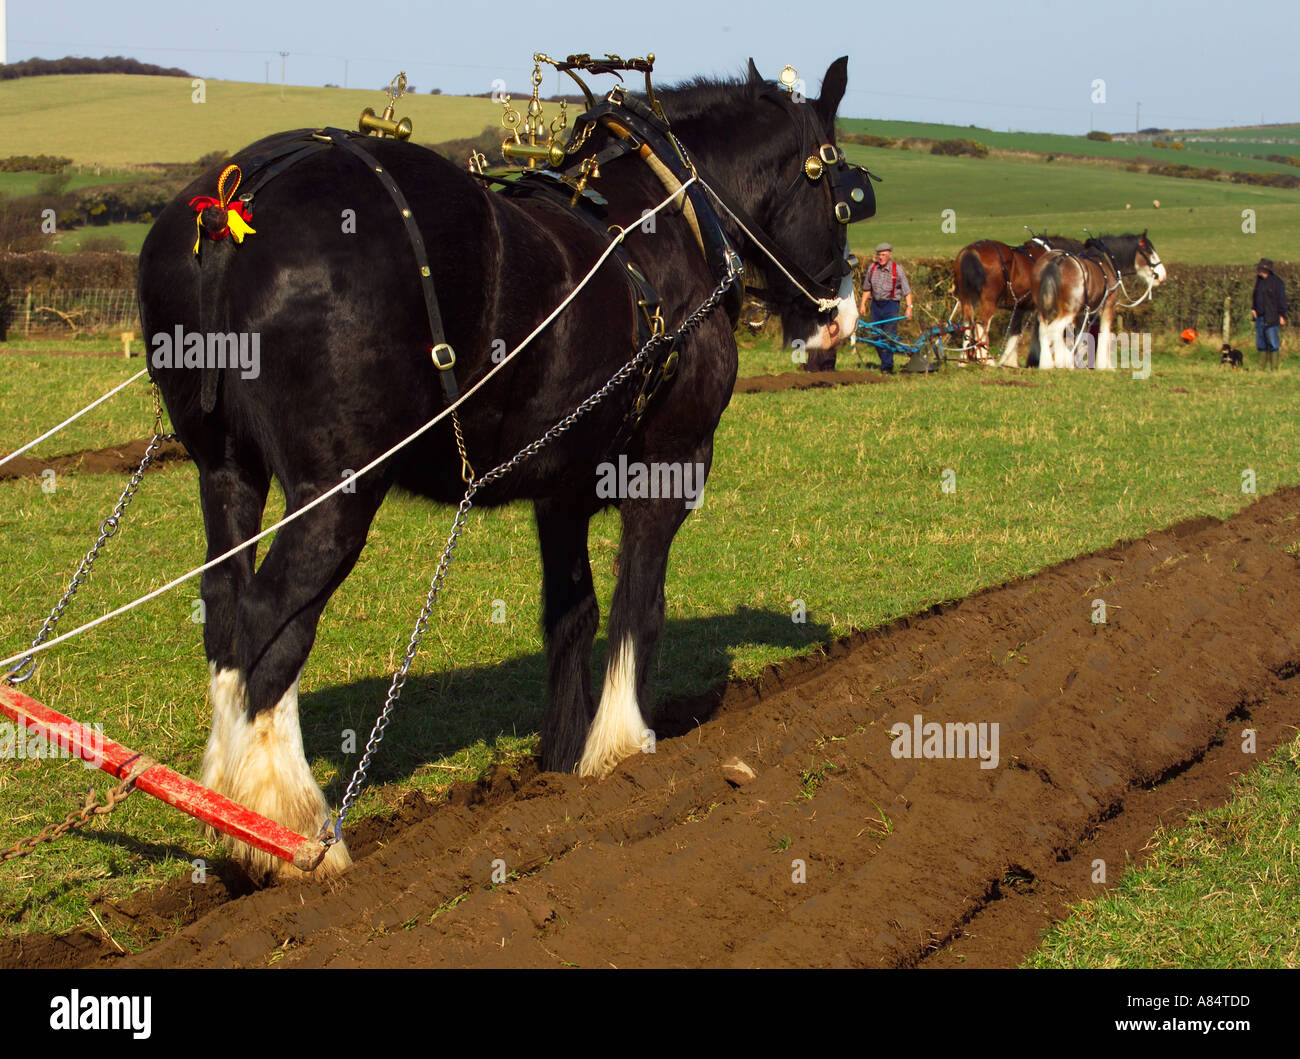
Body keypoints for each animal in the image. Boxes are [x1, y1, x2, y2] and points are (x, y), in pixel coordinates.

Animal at [137, 57, 867, 882]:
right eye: (843, 193)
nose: (840, 318)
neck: (674, 212)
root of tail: (239, 199)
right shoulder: (671, 465)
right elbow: (639, 606)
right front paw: (621, 746)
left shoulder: (565, 488)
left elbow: (572, 613)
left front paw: (561, 757)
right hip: (335, 493)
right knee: (270, 626)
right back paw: (288, 826)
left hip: (225, 471)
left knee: (225, 609)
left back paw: (225, 807)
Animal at [953, 234, 1084, 366]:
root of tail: (972, 250)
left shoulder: (1020, 307)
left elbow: (1015, 331)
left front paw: (1010, 361)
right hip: (989, 301)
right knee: (981, 324)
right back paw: (987, 360)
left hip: (967, 298)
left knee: (967, 324)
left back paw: (963, 360)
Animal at [1031, 231, 1166, 370]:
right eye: (1149, 251)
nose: (1162, 275)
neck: (1106, 261)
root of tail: (1055, 262)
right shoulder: (1108, 306)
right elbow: (1104, 334)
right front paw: (1105, 365)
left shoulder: (1082, 314)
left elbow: (1081, 337)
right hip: (1068, 311)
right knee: (1054, 330)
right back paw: (1062, 361)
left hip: (1043, 310)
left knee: (1043, 330)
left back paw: (1047, 363)